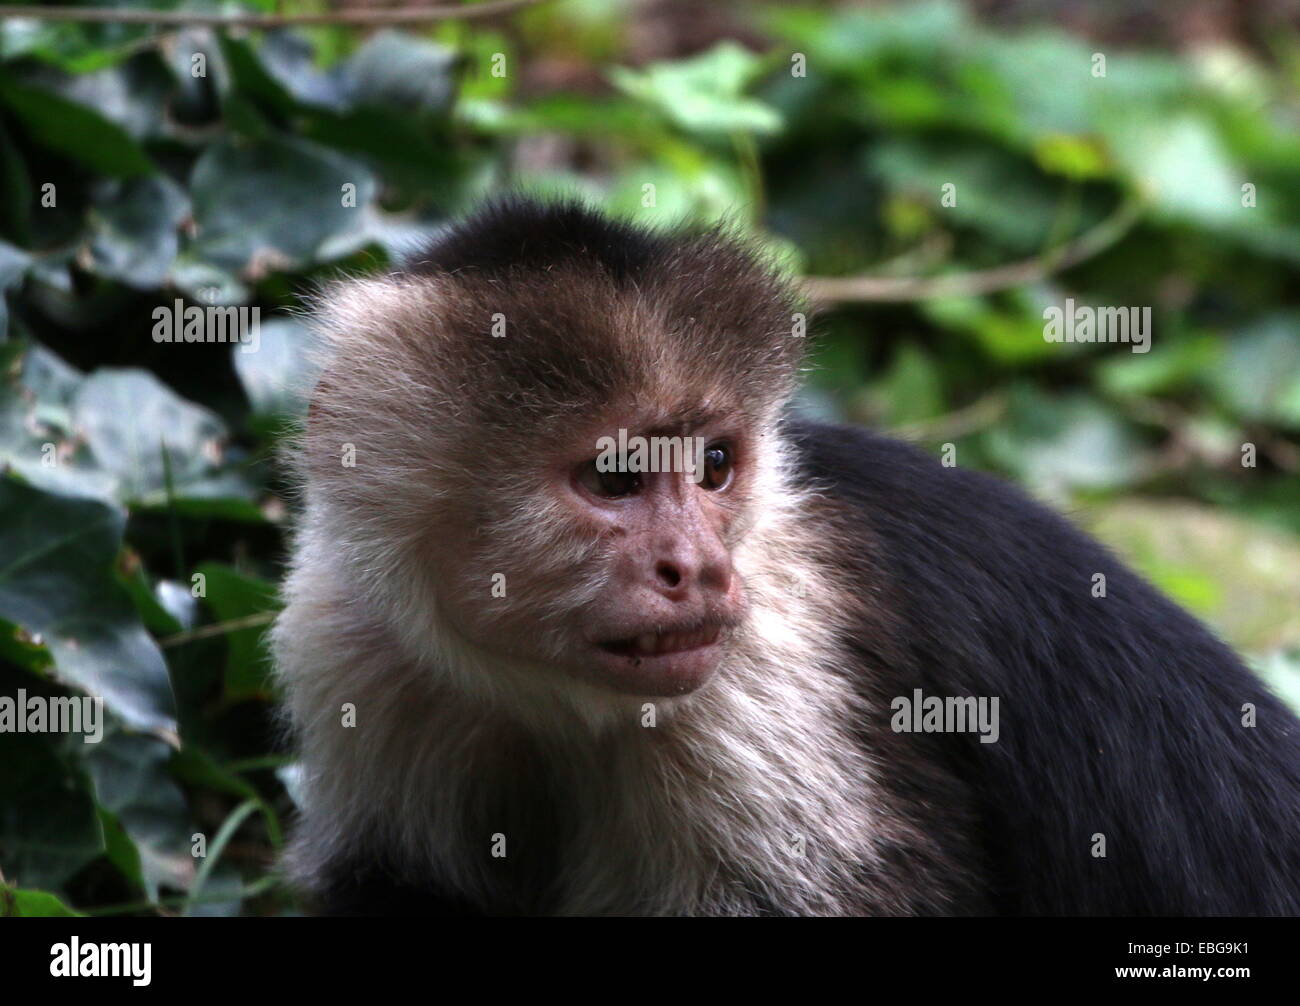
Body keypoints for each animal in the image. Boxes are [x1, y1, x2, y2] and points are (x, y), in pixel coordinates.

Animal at [272, 195, 1300, 916]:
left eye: (715, 466)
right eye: (613, 478)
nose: (699, 567)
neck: (549, 694)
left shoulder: (766, 667)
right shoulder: (350, 639)